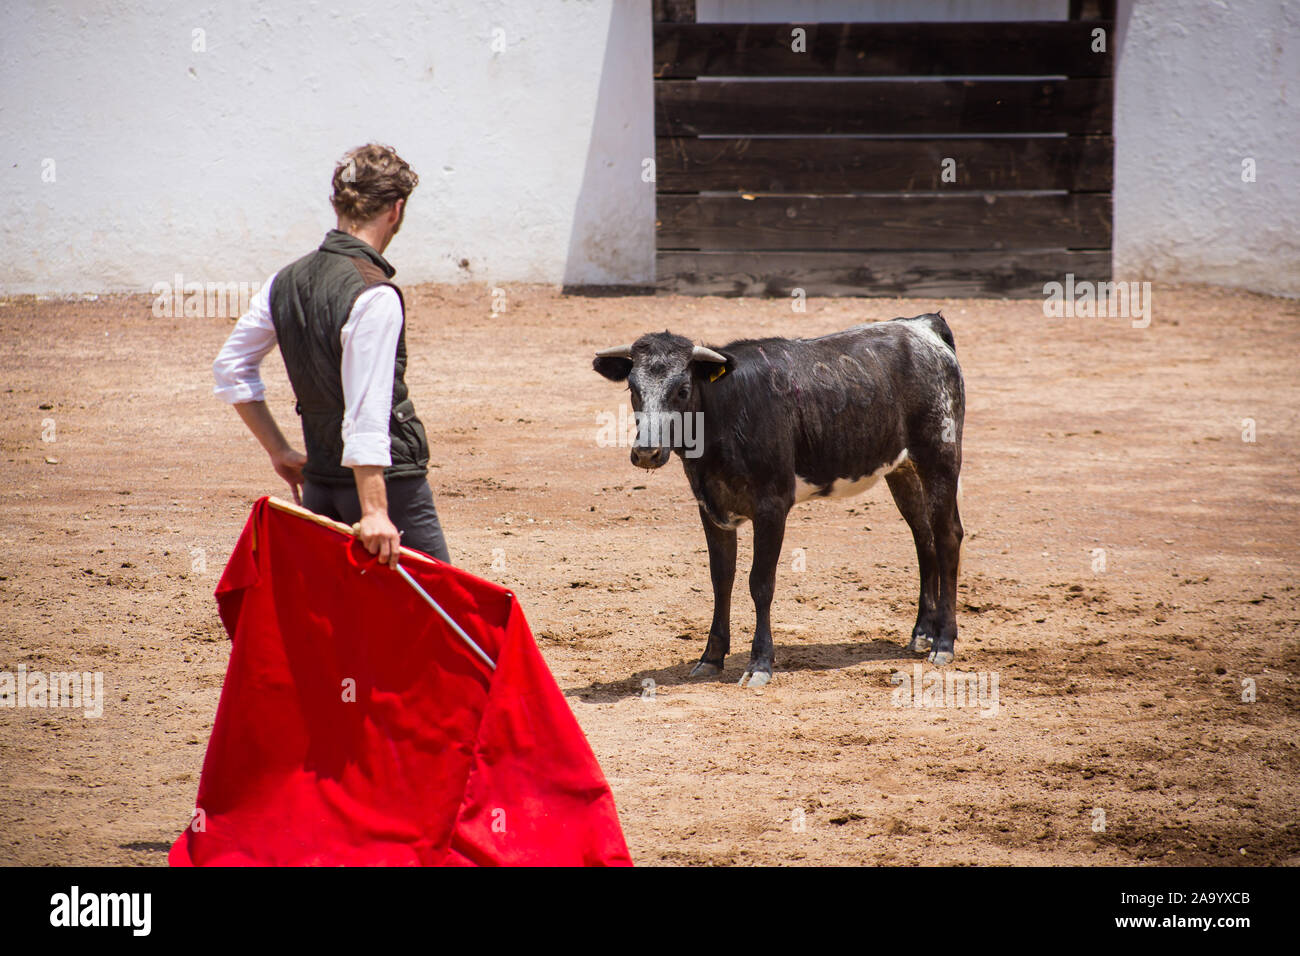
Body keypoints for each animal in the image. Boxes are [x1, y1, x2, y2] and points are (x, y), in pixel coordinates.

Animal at [592, 313, 964, 687]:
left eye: (682, 390)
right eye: (633, 389)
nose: (647, 453)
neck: (726, 412)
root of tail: (922, 325)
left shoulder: (772, 507)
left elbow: (760, 582)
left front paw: (759, 663)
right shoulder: (710, 507)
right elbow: (721, 578)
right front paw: (711, 657)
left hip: (941, 456)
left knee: (947, 536)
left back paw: (943, 642)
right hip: (902, 469)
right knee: (923, 538)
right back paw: (922, 633)